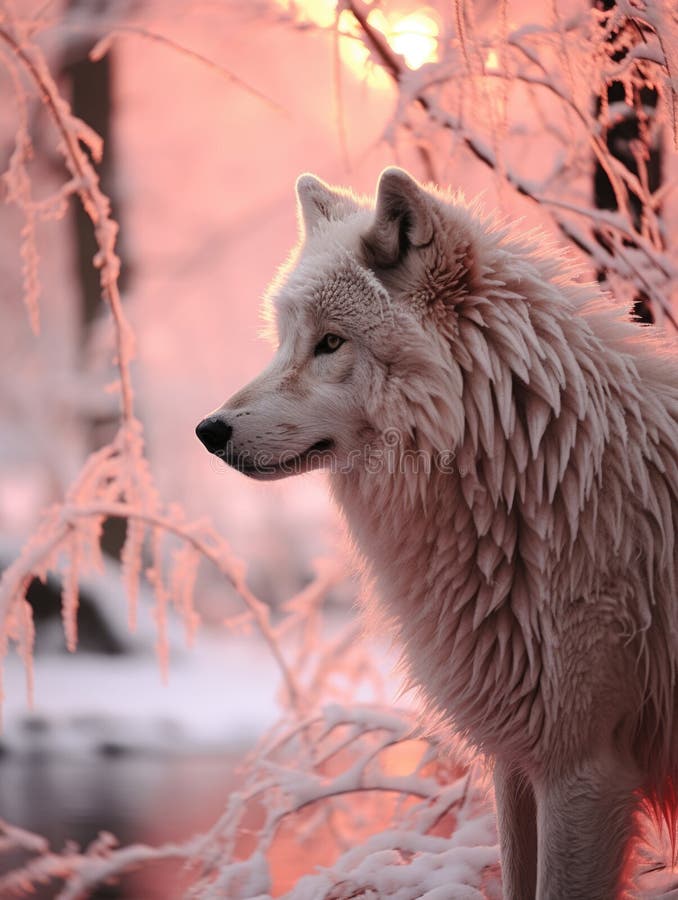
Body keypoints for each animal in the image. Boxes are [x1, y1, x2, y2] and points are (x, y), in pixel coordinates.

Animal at [196, 168, 678, 899]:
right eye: (284, 340)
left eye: (330, 343)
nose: (207, 430)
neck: (537, 475)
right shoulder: (518, 761)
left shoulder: (585, 769)